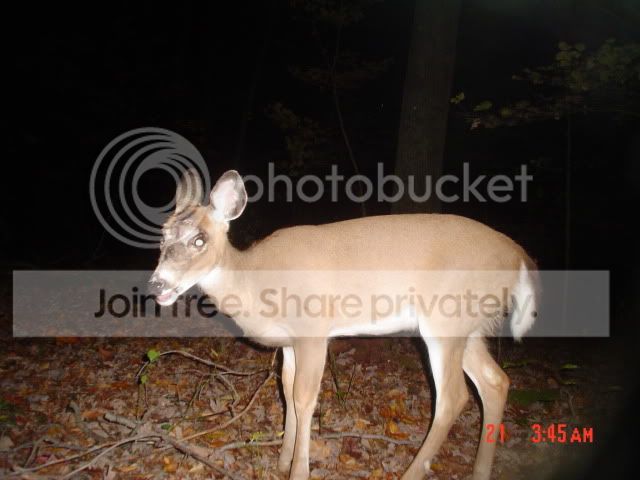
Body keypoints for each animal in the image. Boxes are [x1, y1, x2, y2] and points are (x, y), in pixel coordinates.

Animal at [149, 169, 538, 480]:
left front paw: (299, 471)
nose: (157, 284)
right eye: (163, 235)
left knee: (453, 397)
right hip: (468, 326)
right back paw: (480, 471)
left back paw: (411, 473)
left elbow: (304, 398)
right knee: (496, 382)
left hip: (446, 317)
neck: (254, 281)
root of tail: (520, 257)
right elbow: (286, 390)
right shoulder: (289, 342)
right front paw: (282, 461)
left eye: (199, 239)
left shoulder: (312, 330)